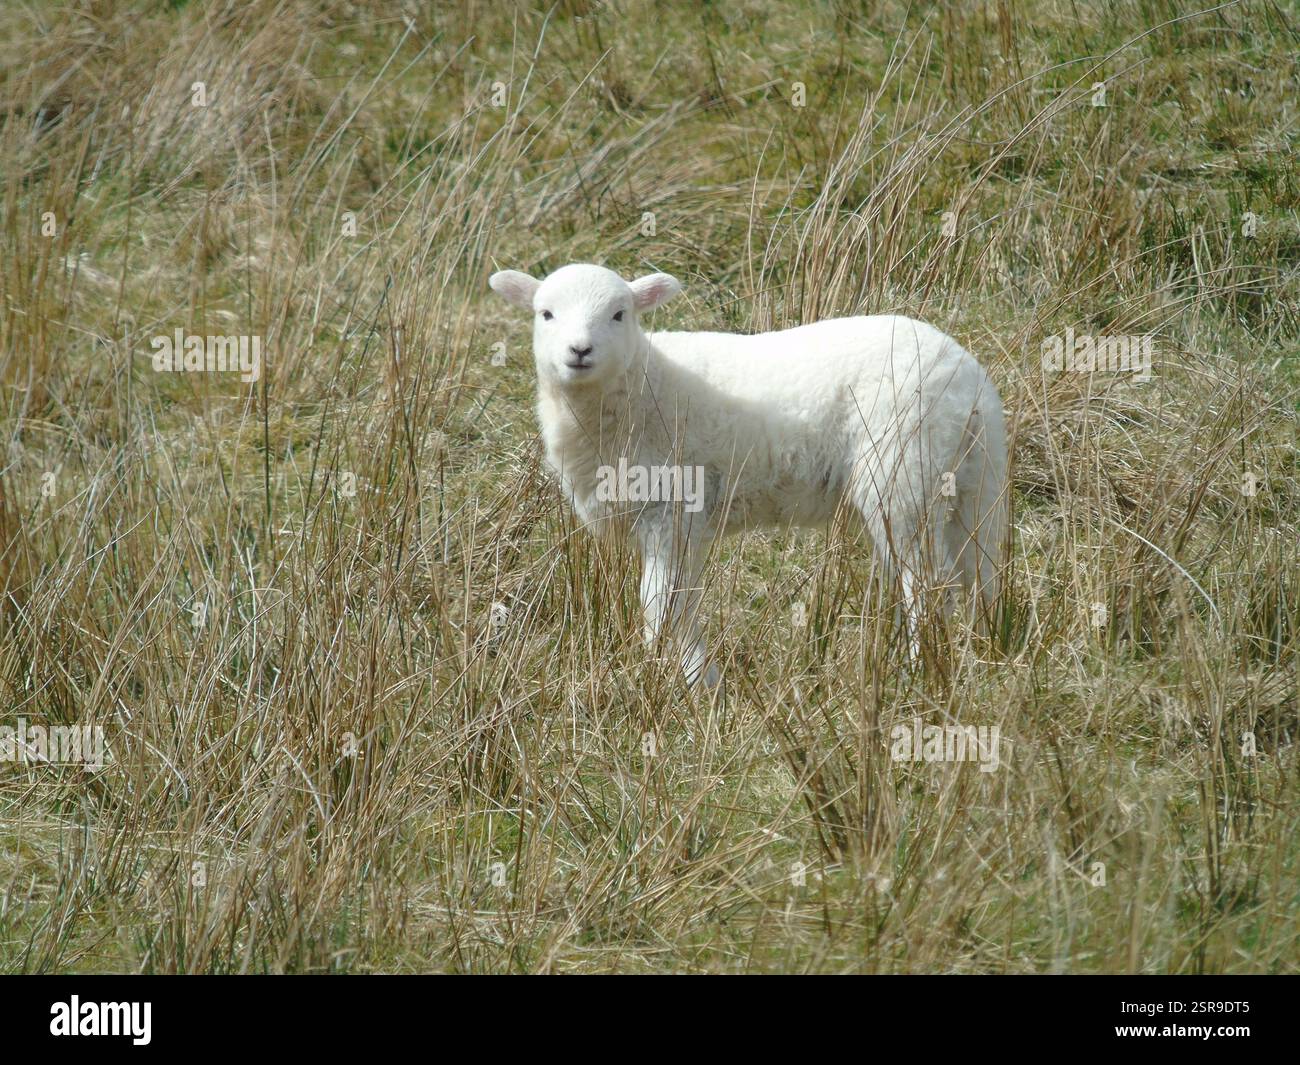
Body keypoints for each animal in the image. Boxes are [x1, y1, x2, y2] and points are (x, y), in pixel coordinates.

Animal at [488, 262, 1008, 688]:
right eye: (545, 314)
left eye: (619, 314)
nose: (579, 351)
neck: (642, 384)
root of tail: (969, 380)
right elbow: (675, 601)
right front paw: (688, 674)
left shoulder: (673, 509)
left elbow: (662, 601)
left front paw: (677, 679)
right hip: (970, 478)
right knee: (978, 571)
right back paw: (985, 651)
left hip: (903, 471)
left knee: (930, 583)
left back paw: (920, 671)